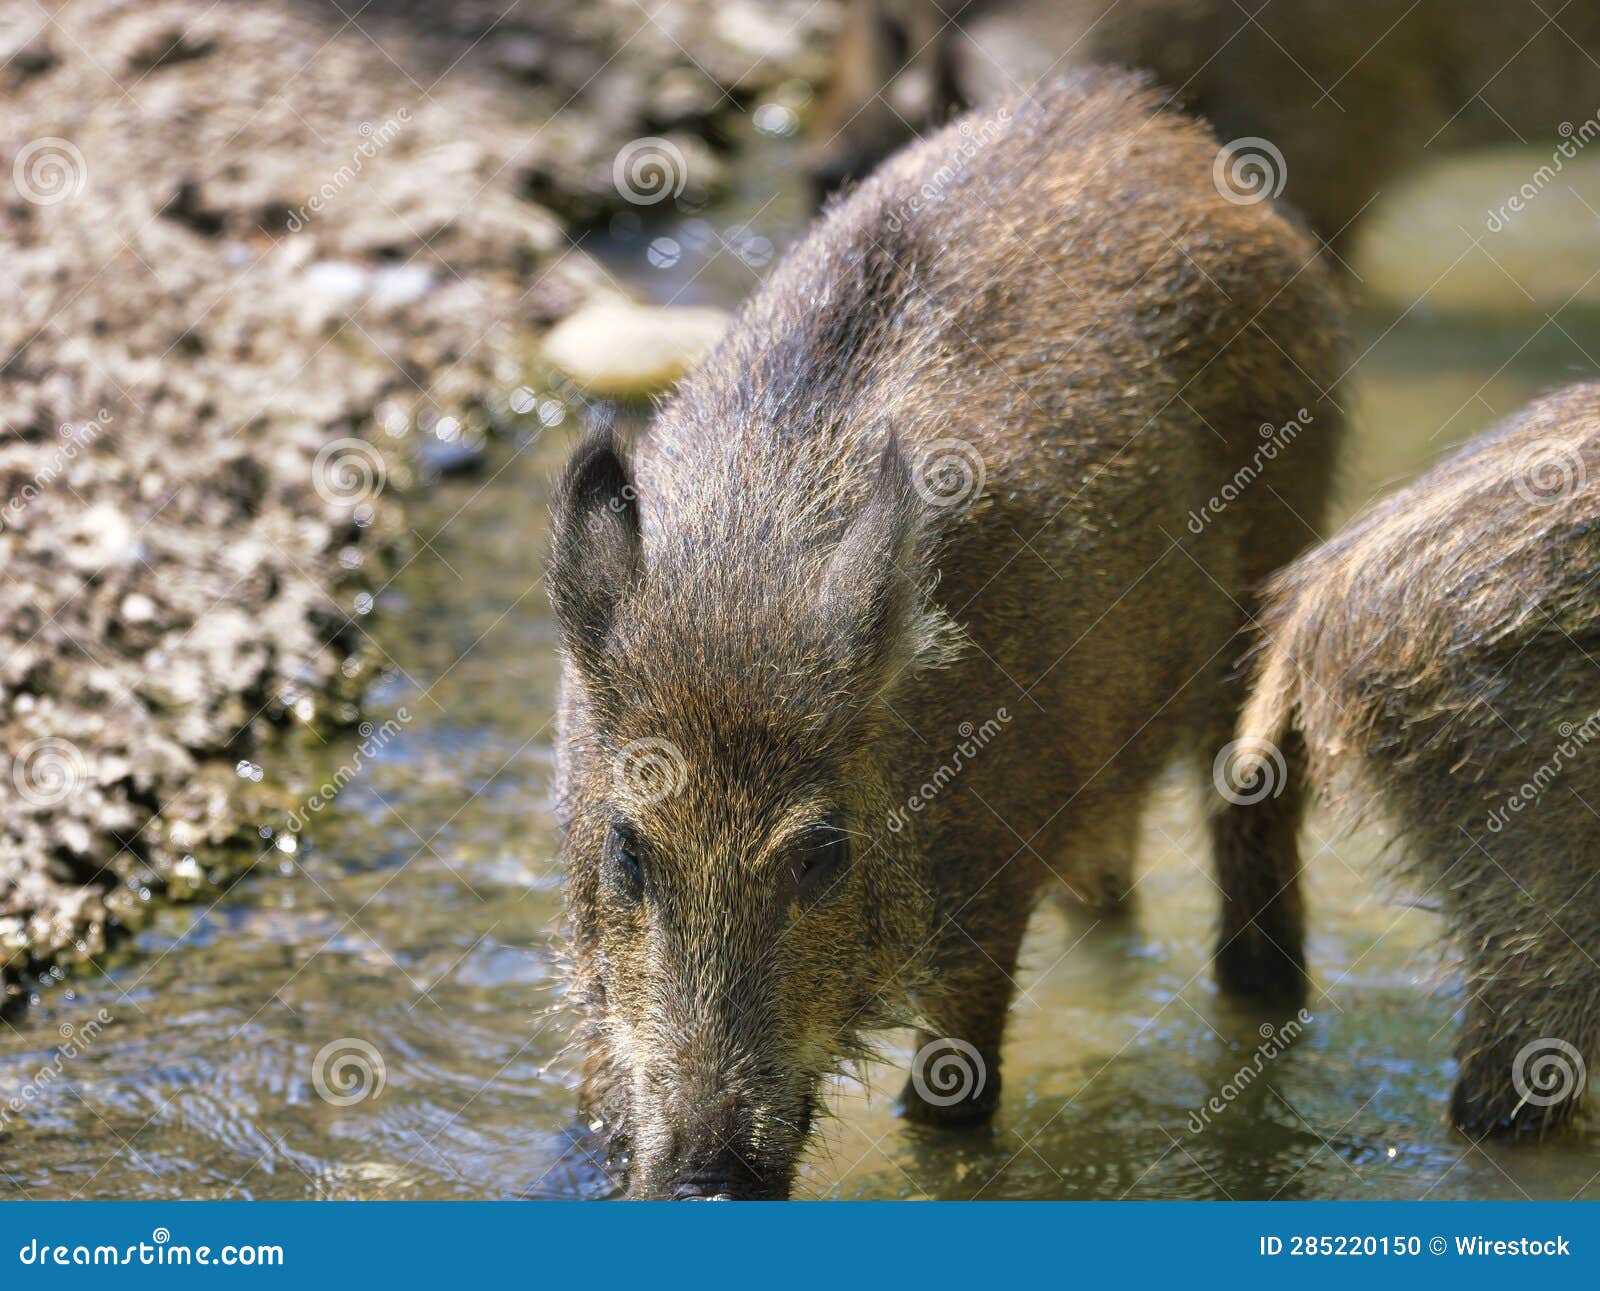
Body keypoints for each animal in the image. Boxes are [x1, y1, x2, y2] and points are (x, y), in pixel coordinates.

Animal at [549, 68, 1347, 1198]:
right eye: (626, 847)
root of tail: (1151, 121)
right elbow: (598, 1110)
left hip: (1271, 598)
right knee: (1110, 900)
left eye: (822, 852)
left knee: (1254, 877)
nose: (707, 1177)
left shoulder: (989, 900)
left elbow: (951, 1115)